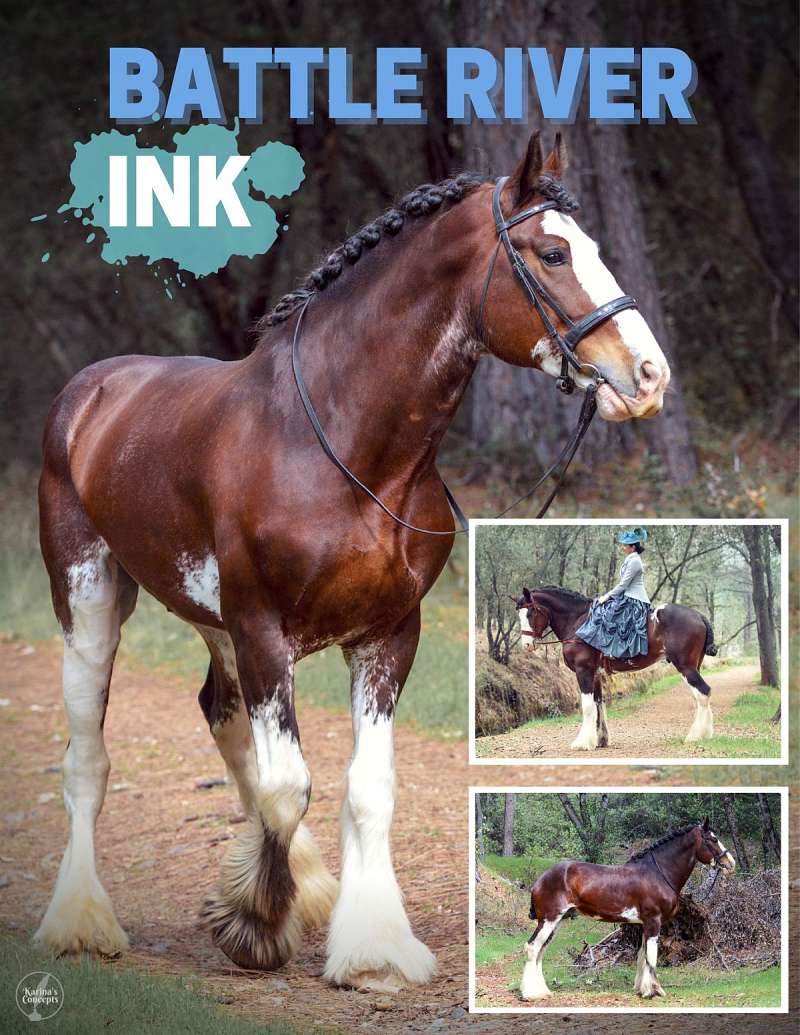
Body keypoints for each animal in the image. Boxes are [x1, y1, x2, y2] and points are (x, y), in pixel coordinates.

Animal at [36, 131, 669, 990]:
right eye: (554, 251)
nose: (649, 375)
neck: (344, 443)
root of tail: (89, 393)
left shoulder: (386, 636)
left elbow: (365, 790)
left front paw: (371, 946)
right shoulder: (264, 629)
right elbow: (288, 784)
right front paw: (254, 925)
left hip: (212, 622)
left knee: (221, 718)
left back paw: (299, 884)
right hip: (93, 600)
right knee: (88, 760)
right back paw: (81, 920)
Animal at [515, 585, 718, 751]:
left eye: (530, 613)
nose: (527, 645)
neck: (579, 622)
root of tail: (699, 616)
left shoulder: (583, 671)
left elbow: (587, 706)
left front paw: (582, 743)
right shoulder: (595, 674)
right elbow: (598, 704)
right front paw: (599, 740)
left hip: (685, 667)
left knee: (703, 692)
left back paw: (695, 736)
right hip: (693, 666)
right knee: (700, 696)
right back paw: (704, 733)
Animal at [521, 818, 736, 1001]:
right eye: (713, 839)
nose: (730, 863)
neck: (657, 873)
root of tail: (540, 879)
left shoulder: (645, 924)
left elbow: (642, 955)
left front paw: (642, 989)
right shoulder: (653, 921)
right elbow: (651, 956)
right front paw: (654, 991)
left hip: (556, 922)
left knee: (540, 951)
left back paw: (542, 991)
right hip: (549, 920)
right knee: (533, 948)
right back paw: (531, 994)